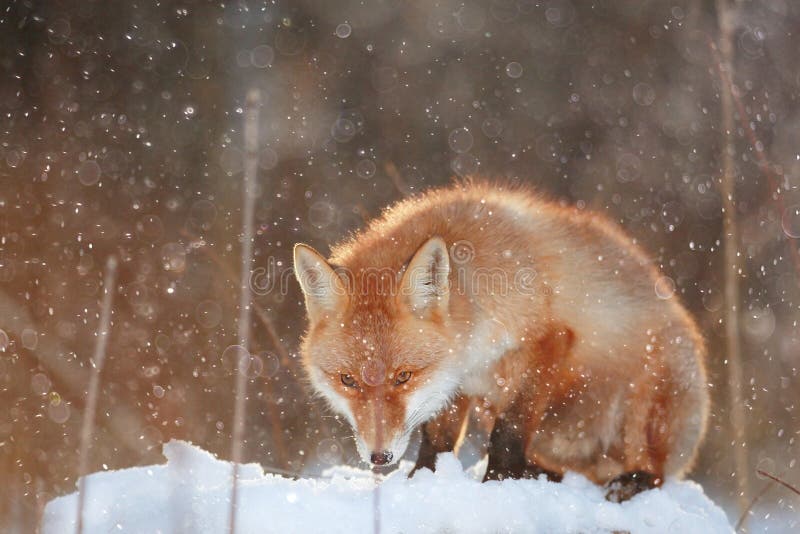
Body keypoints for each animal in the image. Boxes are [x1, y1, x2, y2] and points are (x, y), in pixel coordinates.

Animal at [293, 181, 709, 500]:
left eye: (403, 377)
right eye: (347, 380)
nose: (379, 458)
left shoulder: (547, 339)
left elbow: (507, 434)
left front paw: (498, 482)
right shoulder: (455, 377)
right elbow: (439, 439)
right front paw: (423, 480)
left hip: (649, 394)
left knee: (656, 470)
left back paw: (631, 481)